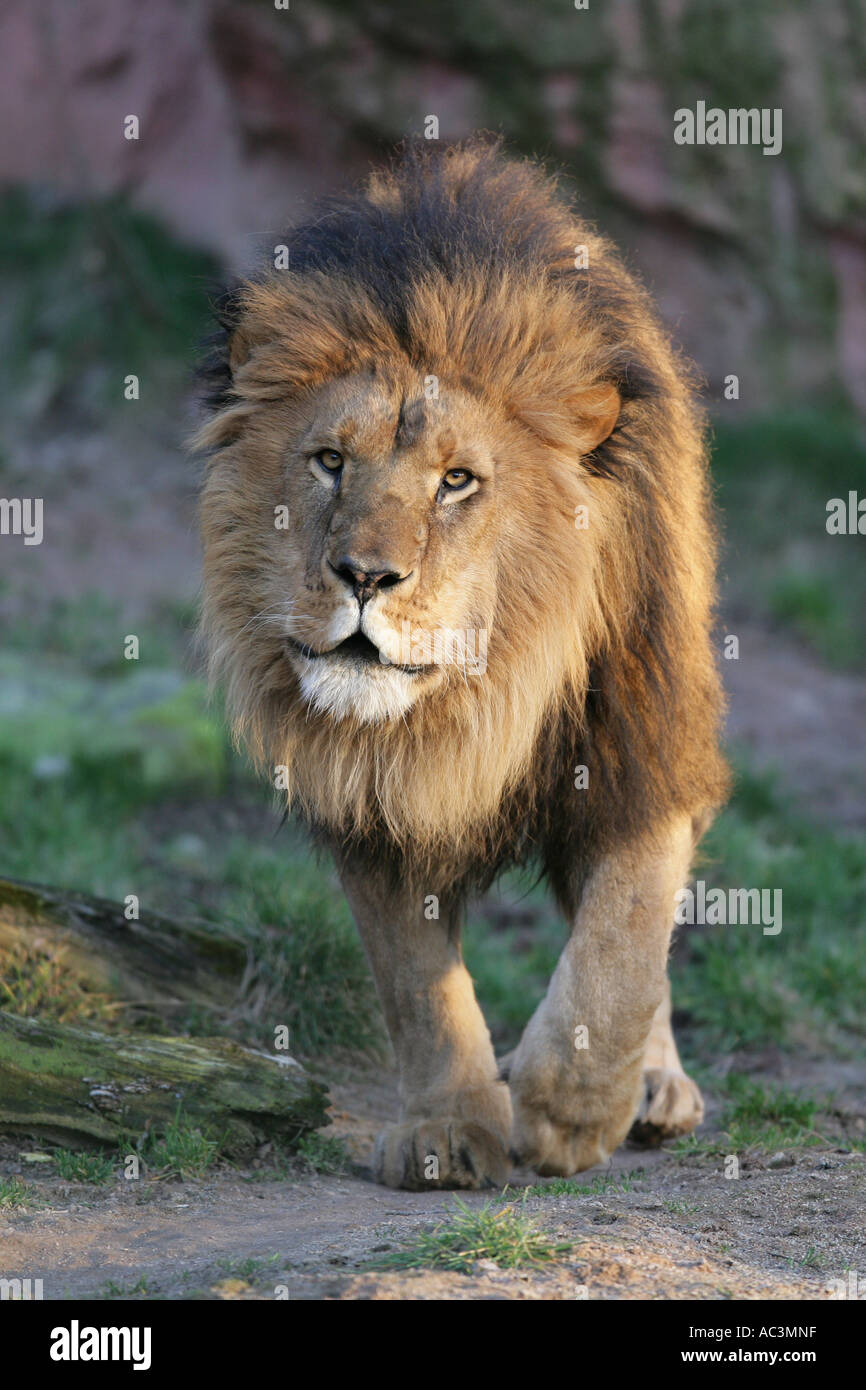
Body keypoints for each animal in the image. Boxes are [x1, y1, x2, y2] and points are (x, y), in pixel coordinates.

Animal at [194, 140, 730, 1190]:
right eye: (328, 461)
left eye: (456, 482)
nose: (365, 575)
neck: (472, 707)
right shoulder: (366, 804)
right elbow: (416, 983)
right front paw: (446, 1129)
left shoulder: (640, 740)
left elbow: (625, 929)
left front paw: (569, 1112)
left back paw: (652, 1087)